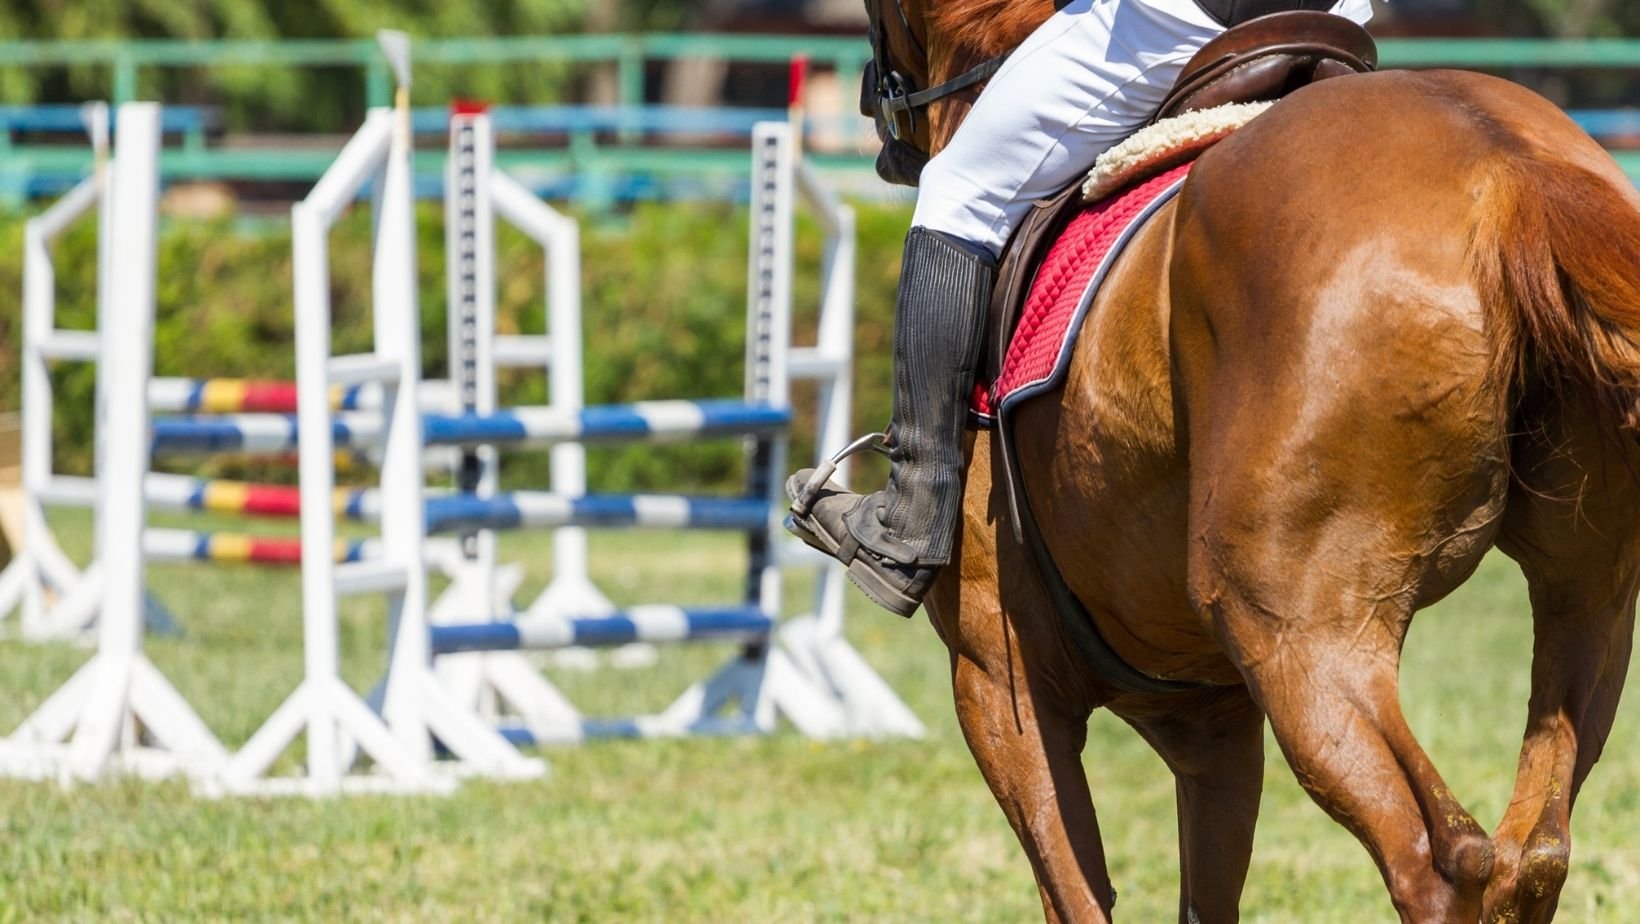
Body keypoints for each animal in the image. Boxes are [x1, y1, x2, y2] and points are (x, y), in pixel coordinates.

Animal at [864, 2, 1640, 921]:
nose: (882, 119)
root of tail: (1512, 173)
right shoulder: (1214, 721)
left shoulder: (1000, 681)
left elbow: (1077, 897)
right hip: (1587, 602)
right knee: (1534, 852)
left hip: (1299, 632)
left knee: (1439, 856)